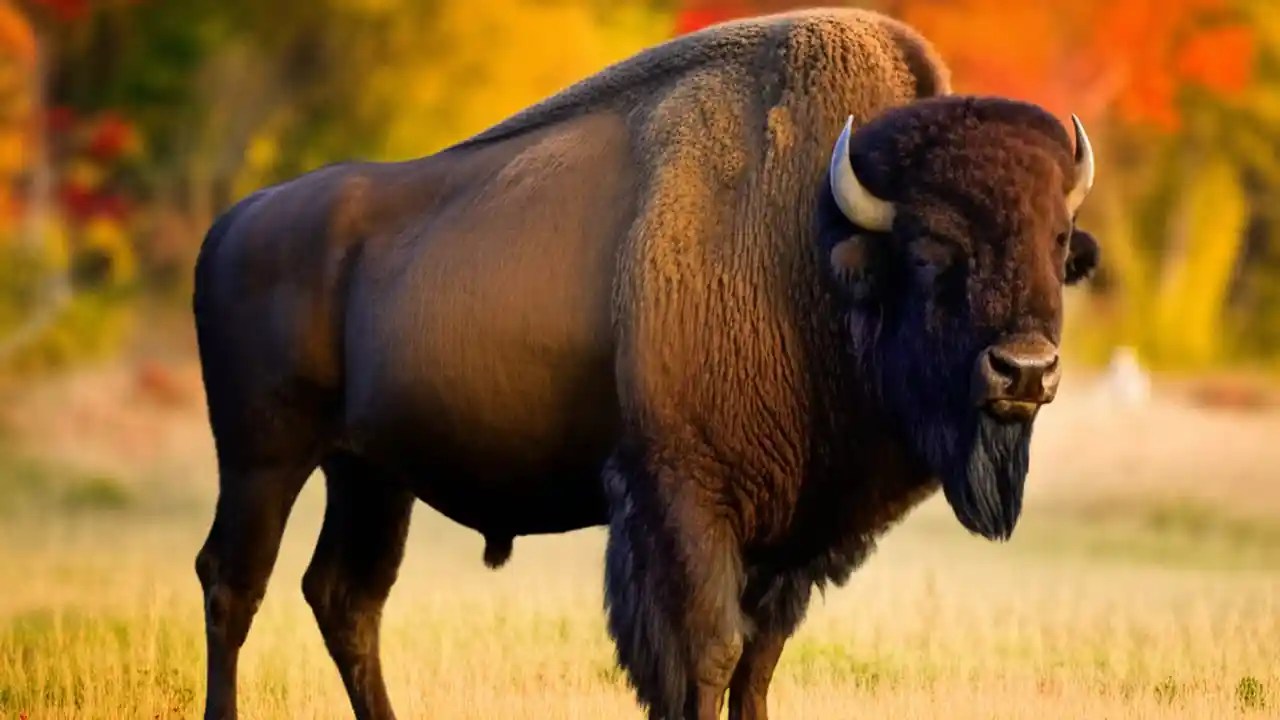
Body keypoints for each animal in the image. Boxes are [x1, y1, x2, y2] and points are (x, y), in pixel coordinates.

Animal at [192, 8, 1099, 720]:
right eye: (932, 244)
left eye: (1058, 244)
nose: (1024, 371)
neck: (809, 242)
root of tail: (232, 222)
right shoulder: (686, 501)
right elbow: (705, 658)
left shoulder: (791, 540)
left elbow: (757, 665)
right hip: (263, 459)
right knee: (234, 583)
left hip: (371, 473)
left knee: (346, 598)